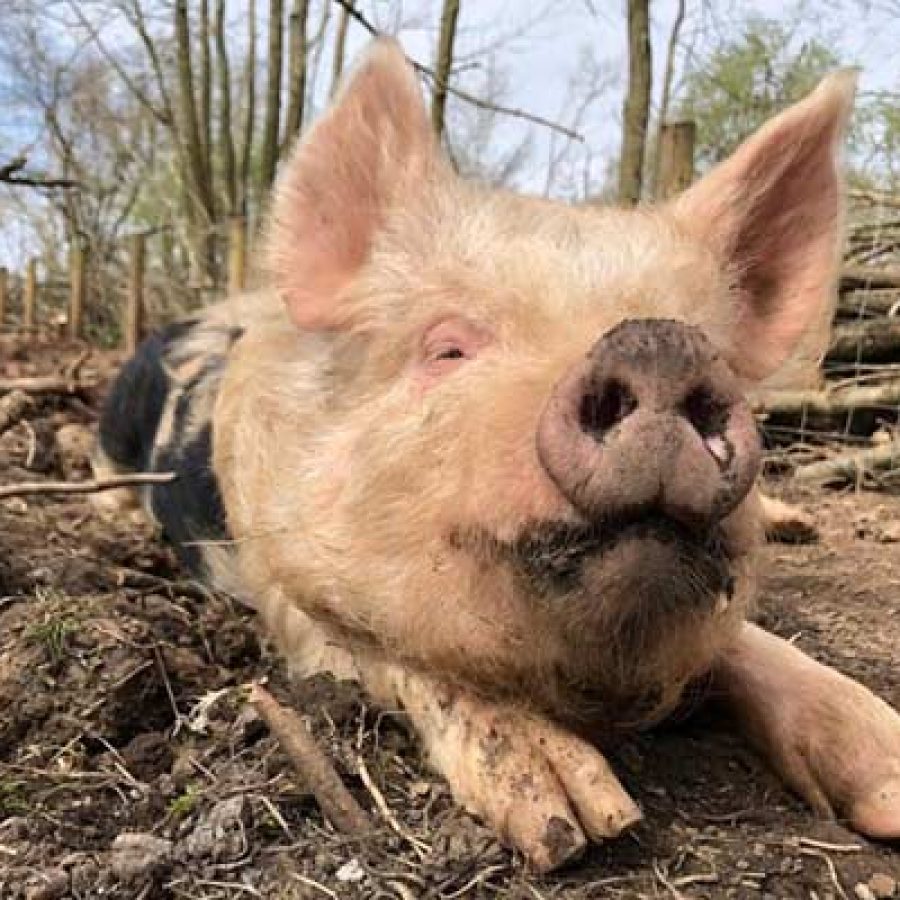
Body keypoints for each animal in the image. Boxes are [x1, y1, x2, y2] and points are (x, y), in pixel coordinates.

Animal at [96, 40, 900, 872]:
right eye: (447, 348)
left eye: (712, 348)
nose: (656, 342)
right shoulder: (285, 600)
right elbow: (406, 659)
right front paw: (579, 820)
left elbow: (749, 640)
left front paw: (890, 792)